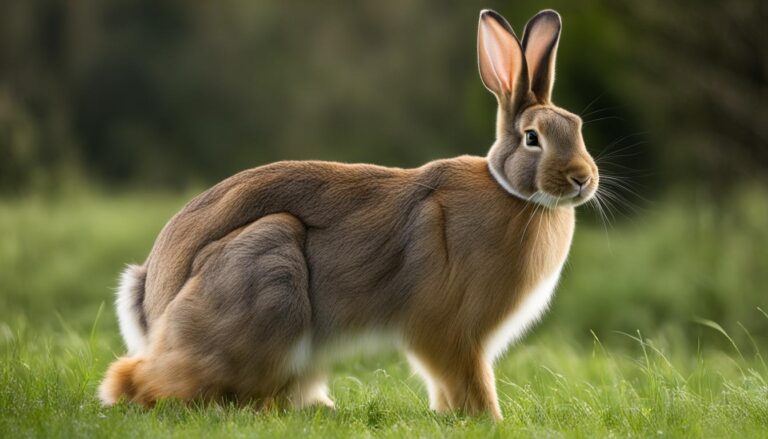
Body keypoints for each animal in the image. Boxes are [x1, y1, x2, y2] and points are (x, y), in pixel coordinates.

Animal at [99, 9, 598, 421]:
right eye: (533, 137)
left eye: (577, 126)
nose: (582, 179)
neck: (514, 194)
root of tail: (152, 296)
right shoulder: (450, 332)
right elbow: (466, 379)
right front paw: (489, 420)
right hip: (266, 272)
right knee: (143, 381)